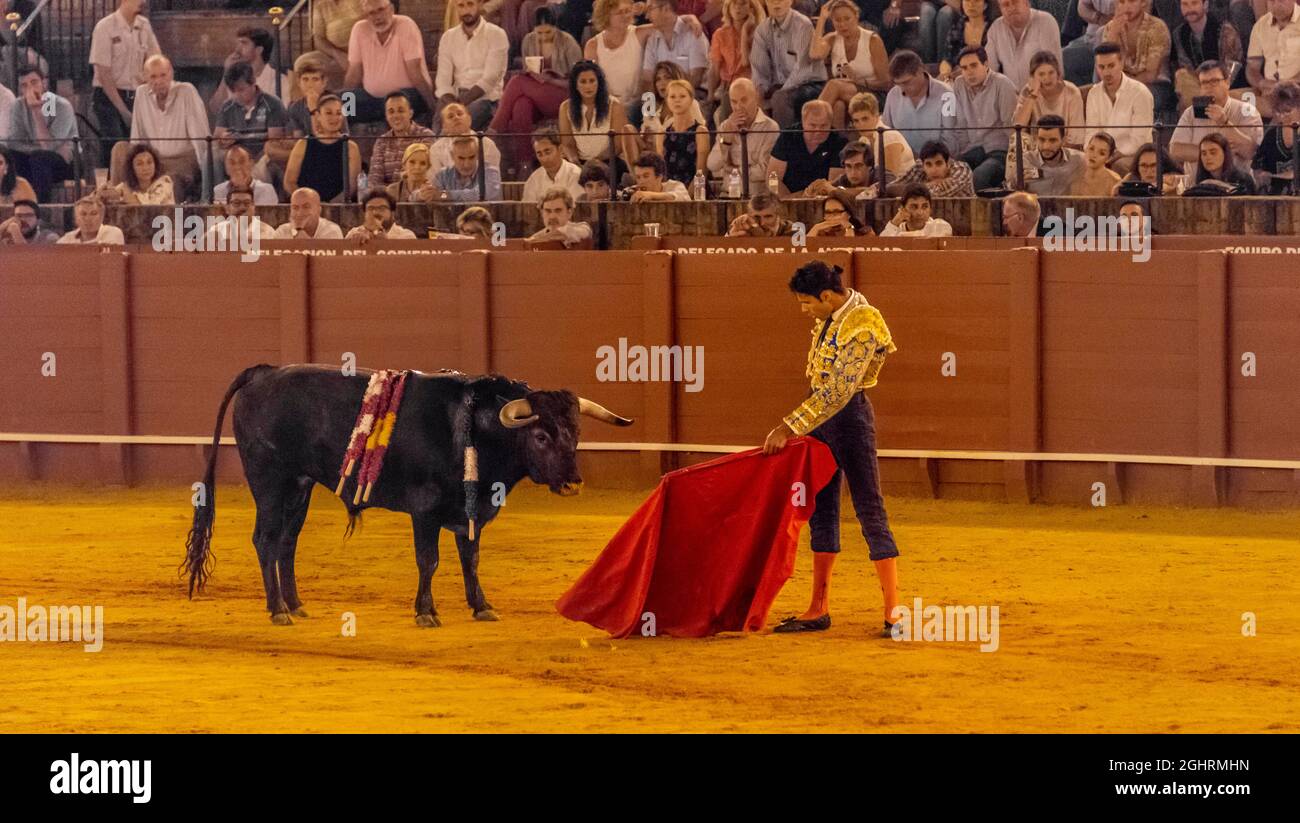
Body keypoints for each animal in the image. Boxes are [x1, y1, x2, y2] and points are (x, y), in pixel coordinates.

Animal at [182, 364, 633, 626]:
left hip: (300, 486)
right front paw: (426, 612)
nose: (573, 482)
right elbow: (429, 560)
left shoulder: (470, 508)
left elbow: (470, 559)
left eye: (575, 433)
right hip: (270, 482)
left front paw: (481, 606)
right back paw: (277, 611)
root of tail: (264, 372)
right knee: (265, 540)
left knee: (286, 543)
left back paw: (295, 605)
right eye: (540, 436)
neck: (474, 426)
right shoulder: (425, 509)